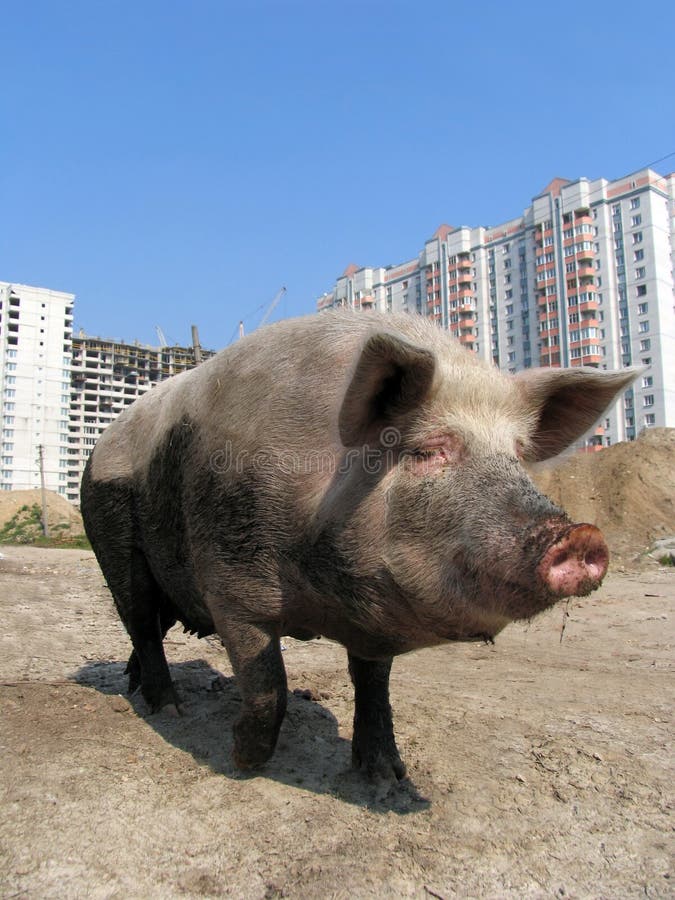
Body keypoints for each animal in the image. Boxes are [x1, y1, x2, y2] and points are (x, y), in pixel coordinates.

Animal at [81, 311, 638, 781]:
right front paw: (241, 761)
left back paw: (136, 686)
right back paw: (166, 706)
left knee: (147, 630)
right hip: (110, 533)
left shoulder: (374, 616)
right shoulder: (230, 581)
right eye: (428, 450)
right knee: (140, 619)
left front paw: (386, 776)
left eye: (518, 455)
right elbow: (268, 683)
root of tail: (103, 439)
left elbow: (374, 684)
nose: (581, 536)